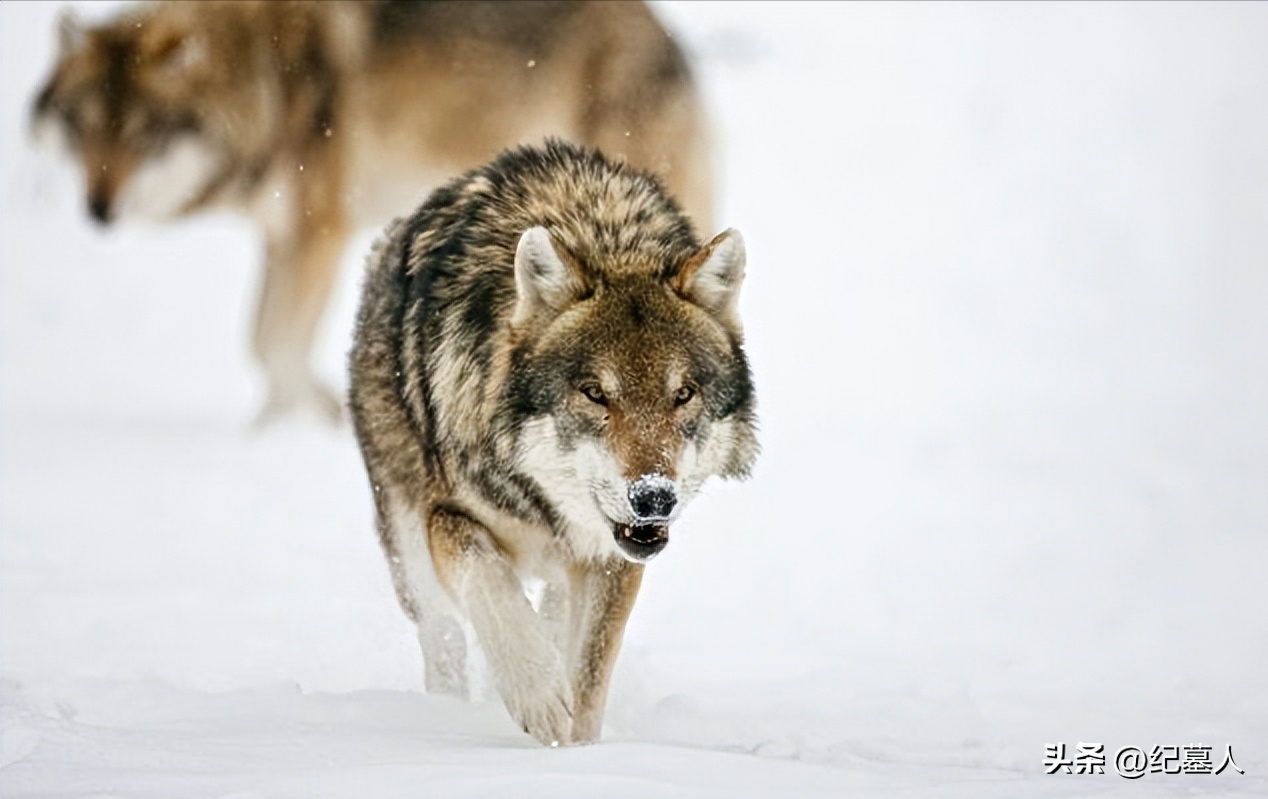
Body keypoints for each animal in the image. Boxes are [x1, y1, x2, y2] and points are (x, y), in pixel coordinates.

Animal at [31, 1, 712, 423]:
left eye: (141, 134)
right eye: (83, 128)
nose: (97, 210)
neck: (261, 79)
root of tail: (665, 33)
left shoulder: (319, 232)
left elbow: (278, 343)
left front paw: (306, 421)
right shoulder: (281, 240)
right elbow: (261, 342)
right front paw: (277, 426)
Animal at [348, 141, 757, 745]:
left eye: (683, 394)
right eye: (595, 393)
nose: (654, 498)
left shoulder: (611, 556)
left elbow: (588, 674)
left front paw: (575, 749)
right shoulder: (446, 519)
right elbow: (495, 593)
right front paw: (539, 702)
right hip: (407, 543)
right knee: (443, 635)